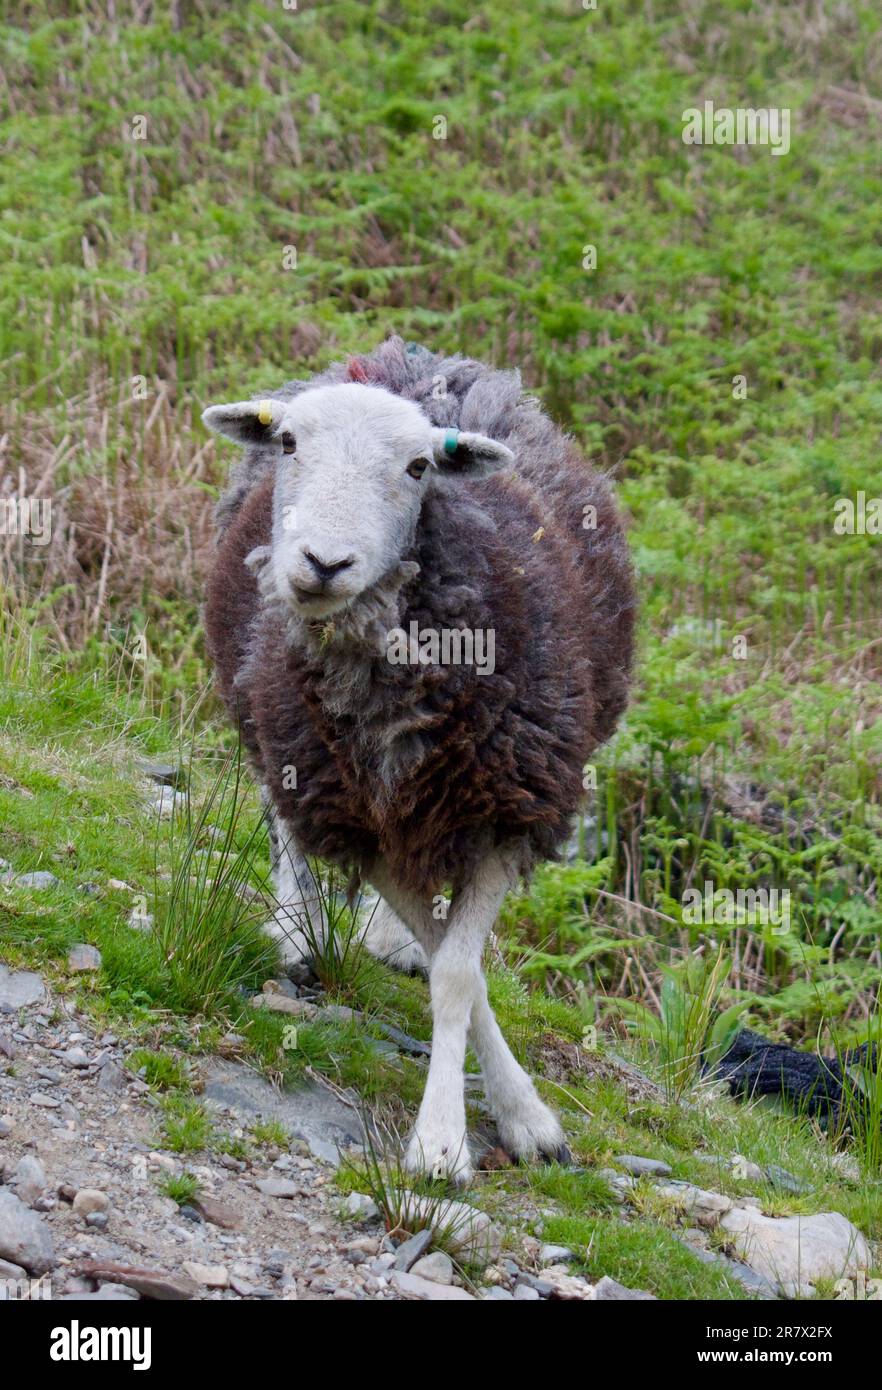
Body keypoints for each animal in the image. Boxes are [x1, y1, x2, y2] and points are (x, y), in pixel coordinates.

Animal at [202, 335, 635, 1181]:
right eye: (289, 443)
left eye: (417, 468)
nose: (324, 562)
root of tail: (405, 358)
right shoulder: (350, 814)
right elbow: (456, 970)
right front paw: (459, 1132)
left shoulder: (508, 810)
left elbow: (458, 974)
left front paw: (493, 1126)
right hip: (270, 722)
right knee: (281, 817)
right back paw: (299, 930)